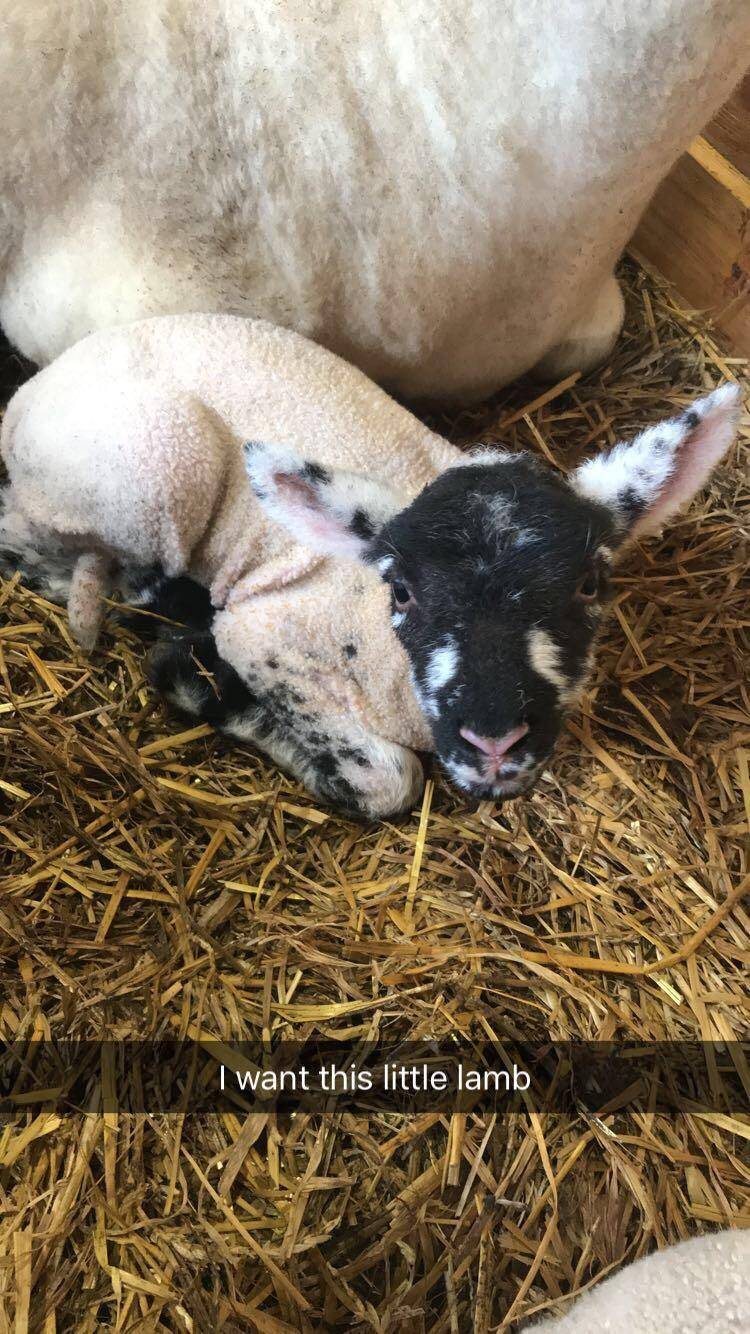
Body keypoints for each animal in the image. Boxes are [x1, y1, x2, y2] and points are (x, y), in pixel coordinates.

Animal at [0, 314, 741, 818]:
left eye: (590, 584)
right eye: (403, 592)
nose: (495, 739)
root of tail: (30, 393)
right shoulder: (262, 633)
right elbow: (389, 780)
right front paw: (220, 694)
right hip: (153, 469)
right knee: (28, 535)